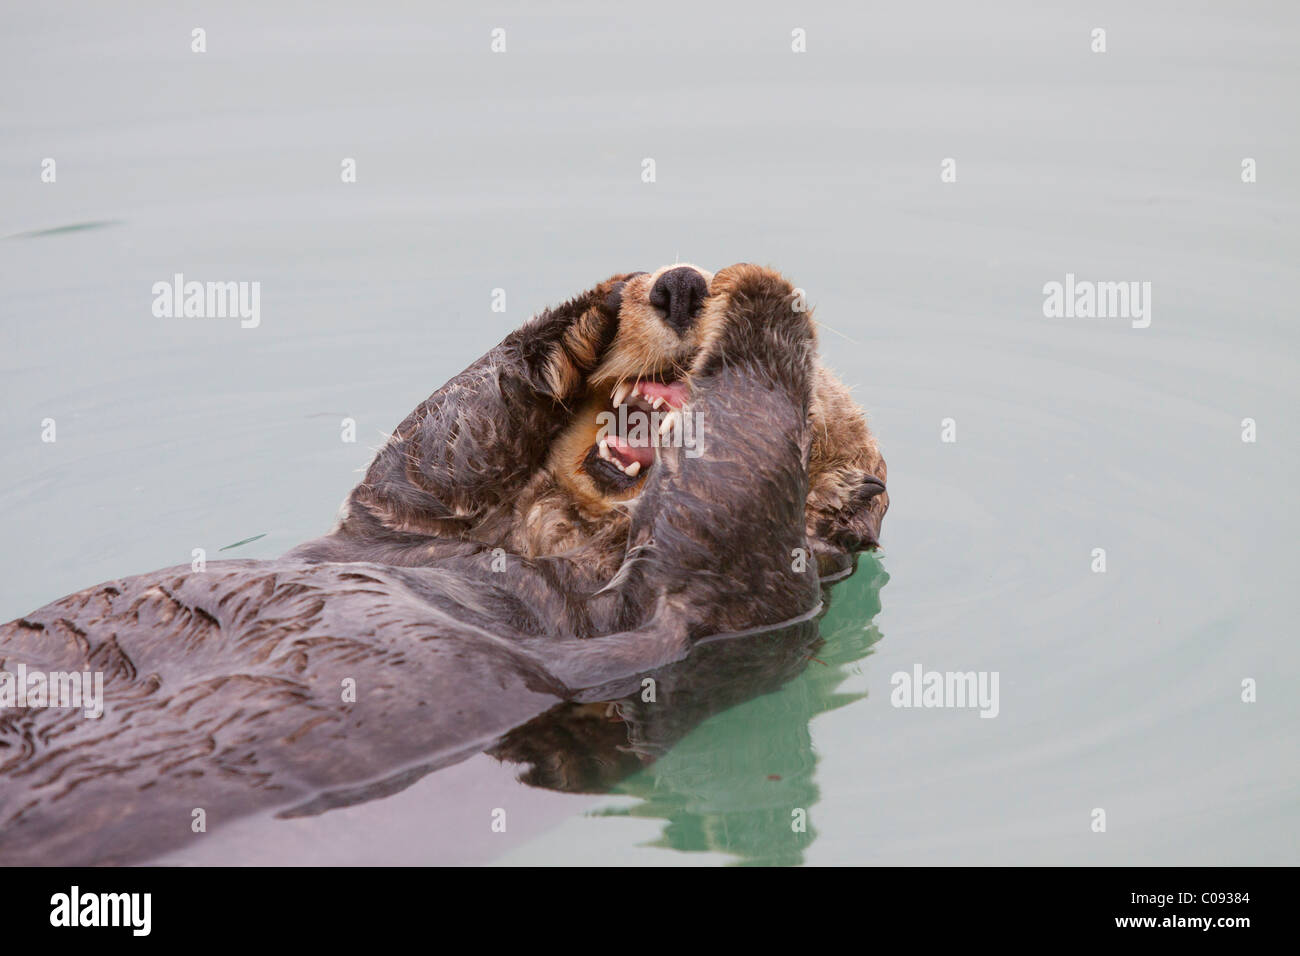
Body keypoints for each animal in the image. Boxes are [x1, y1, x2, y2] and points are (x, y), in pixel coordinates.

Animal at [0, 264, 888, 865]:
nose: (685, 286)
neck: (550, 538)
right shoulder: (399, 526)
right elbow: (437, 443)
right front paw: (603, 308)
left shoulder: (721, 608)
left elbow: (735, 493)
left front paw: (766, 299)